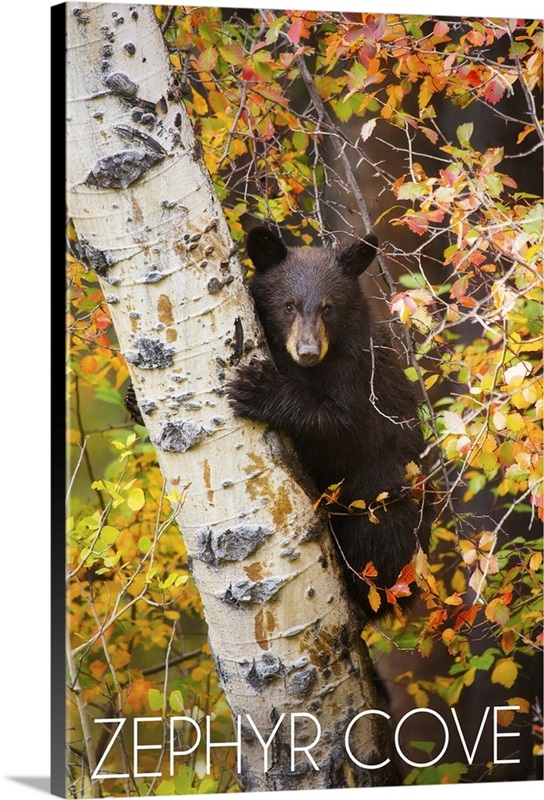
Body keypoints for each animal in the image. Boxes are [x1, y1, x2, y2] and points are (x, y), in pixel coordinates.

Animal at [226, 226, 431, 619]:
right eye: (288, 305)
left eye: (328, 307)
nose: (308, 351)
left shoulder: (358, 372)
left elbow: (342, 425)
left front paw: (258, 389)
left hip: (380, 502)